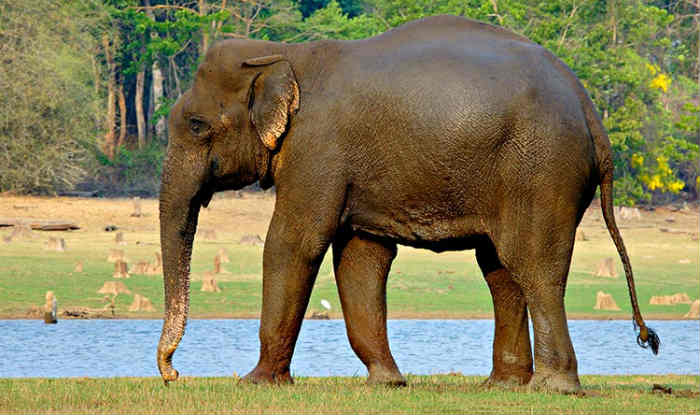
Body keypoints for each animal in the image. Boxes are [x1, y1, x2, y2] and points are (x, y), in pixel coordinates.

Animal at [156, 14, 659, 393]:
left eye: (197, 125)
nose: (172, 373)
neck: (284, 52)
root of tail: (590, 111)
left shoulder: (317, 149)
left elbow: (294, 242)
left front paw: (256, 382)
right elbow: (361, 257)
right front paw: (387, 382)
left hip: (542, 169)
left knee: (533, 265)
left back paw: (553, 387)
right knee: (500, 269)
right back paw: (503, 385)